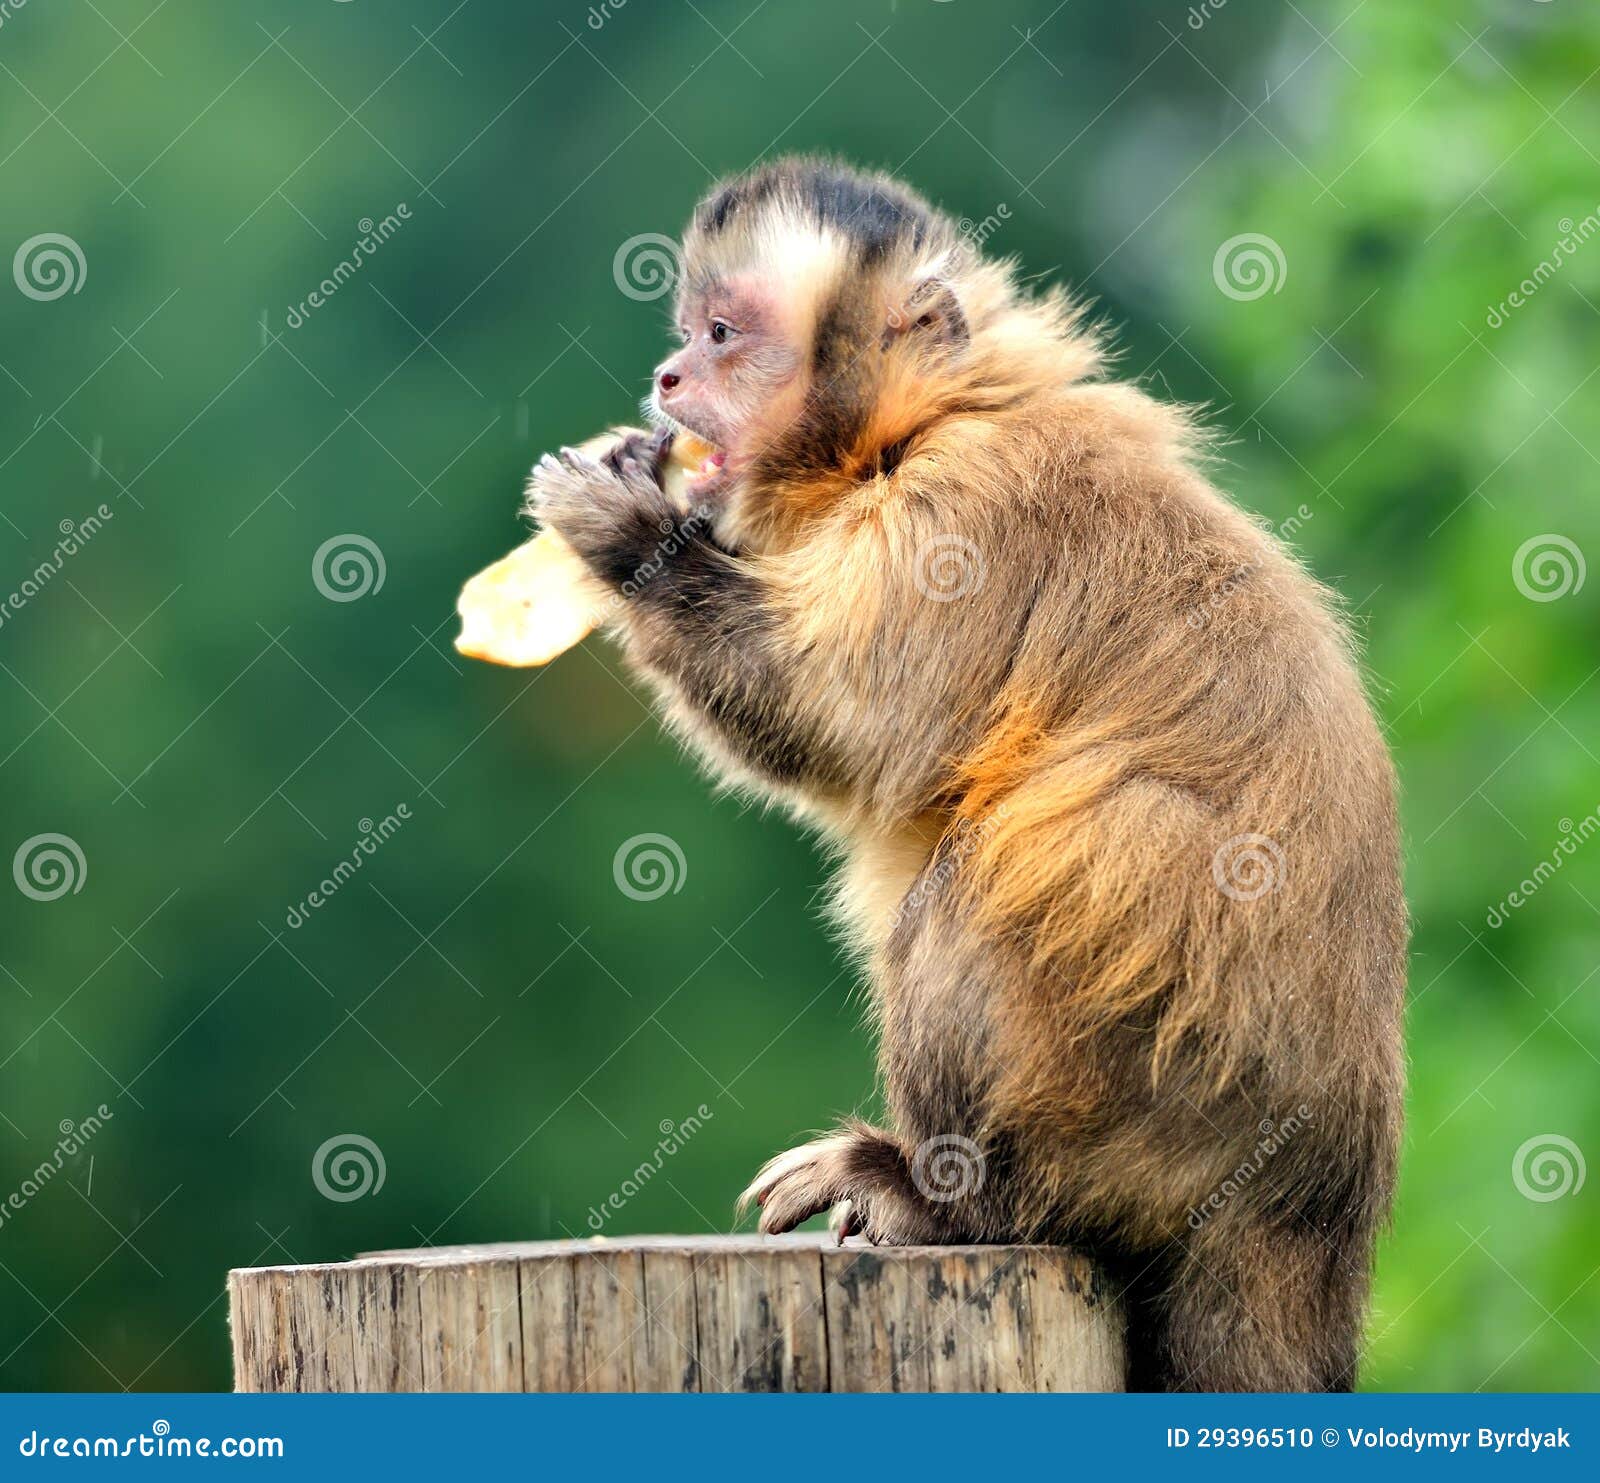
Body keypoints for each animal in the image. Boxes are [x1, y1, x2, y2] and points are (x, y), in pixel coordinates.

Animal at [528, 157, 1407, 1393]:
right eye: (688, 335)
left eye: (723, 334)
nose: (670, 374)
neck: (918, 426)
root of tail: (1323, 1190)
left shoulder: (969, 508)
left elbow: (842, 723)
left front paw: (626, 529)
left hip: (1173, 1112)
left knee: (1015, 871)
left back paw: (960, 1201)